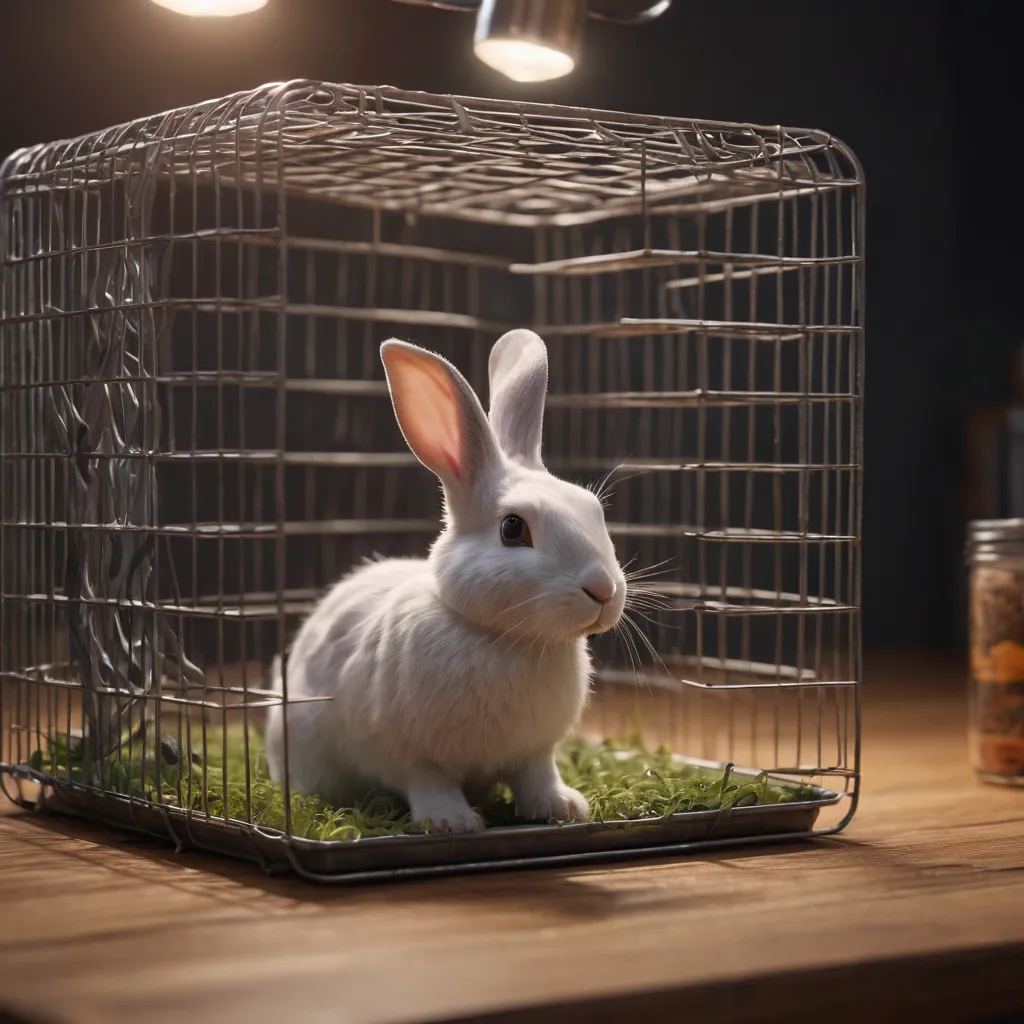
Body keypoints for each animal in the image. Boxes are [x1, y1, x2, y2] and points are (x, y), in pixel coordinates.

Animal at [264, 329, 626, 833]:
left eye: (594, 510)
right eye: (513, 528)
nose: (603, 590)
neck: (505, 639)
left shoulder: (535, 751)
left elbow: (537, 776)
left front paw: (563, 808)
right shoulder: (406, 753)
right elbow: (429, 781)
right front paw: (452, 821)